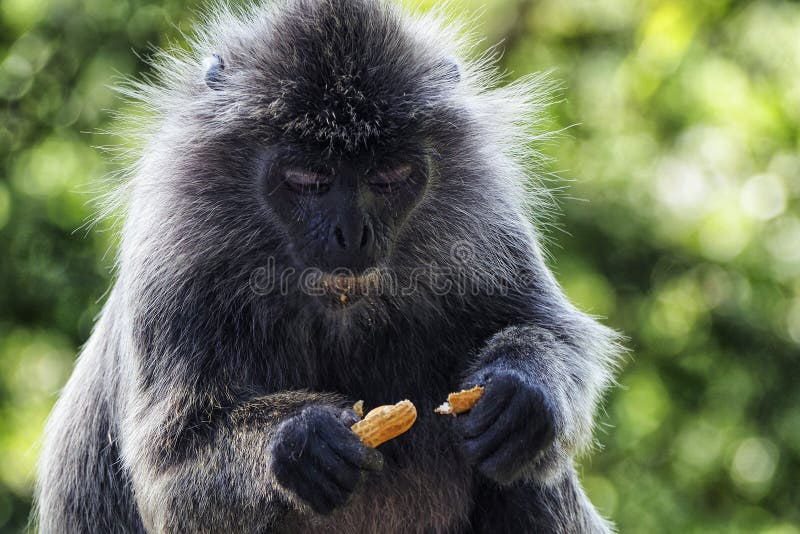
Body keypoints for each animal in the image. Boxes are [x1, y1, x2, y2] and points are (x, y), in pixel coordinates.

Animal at [34, 0, 623, 532]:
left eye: (388, 175)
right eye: (307, 179)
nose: (351, 235)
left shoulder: (486, 225)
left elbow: (555, 330)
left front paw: (524, 397)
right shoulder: (176, 254)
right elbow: (170, 468)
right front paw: (301, 443)